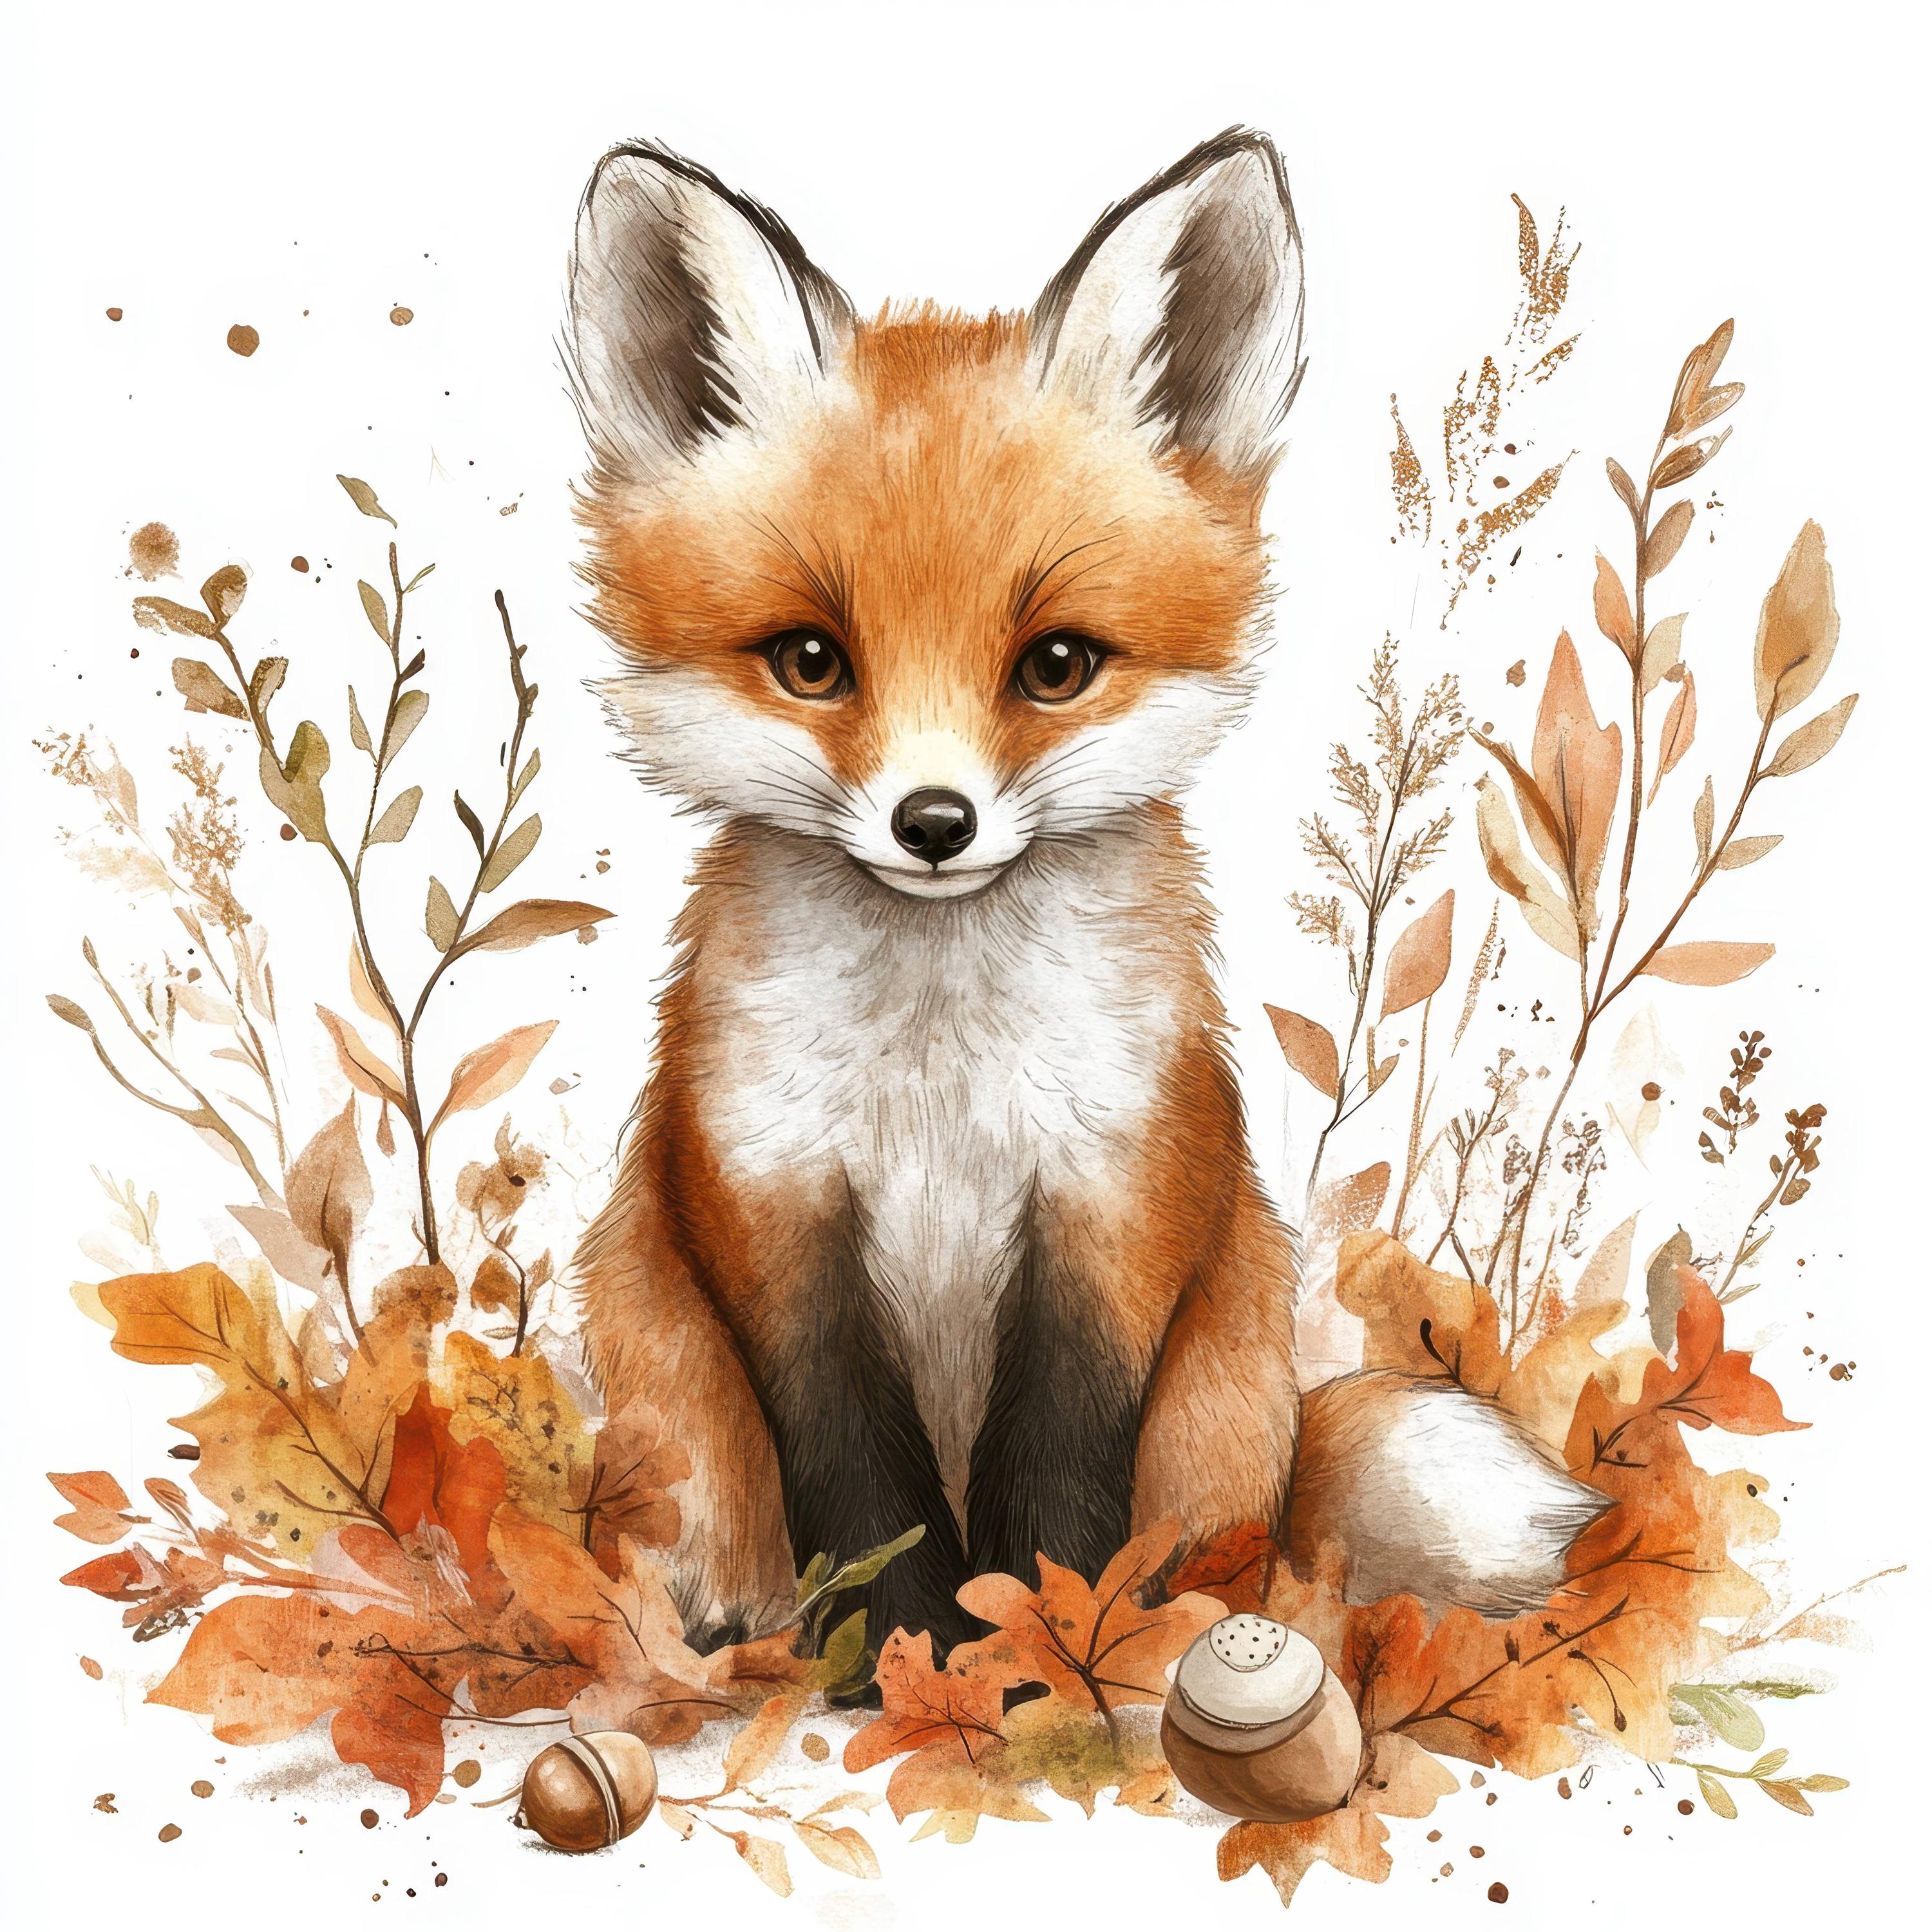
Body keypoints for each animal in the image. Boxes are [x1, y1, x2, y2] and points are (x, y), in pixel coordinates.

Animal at [566, 129, 1605, 1653]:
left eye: (1055, 666)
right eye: (812, 661)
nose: (934, 825)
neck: (940, 1081)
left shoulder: (1114, 1200)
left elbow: (1061, 1484)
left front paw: (1048, 1660)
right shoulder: (773, 1211)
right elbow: (862, 1495)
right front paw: (905, 1663)